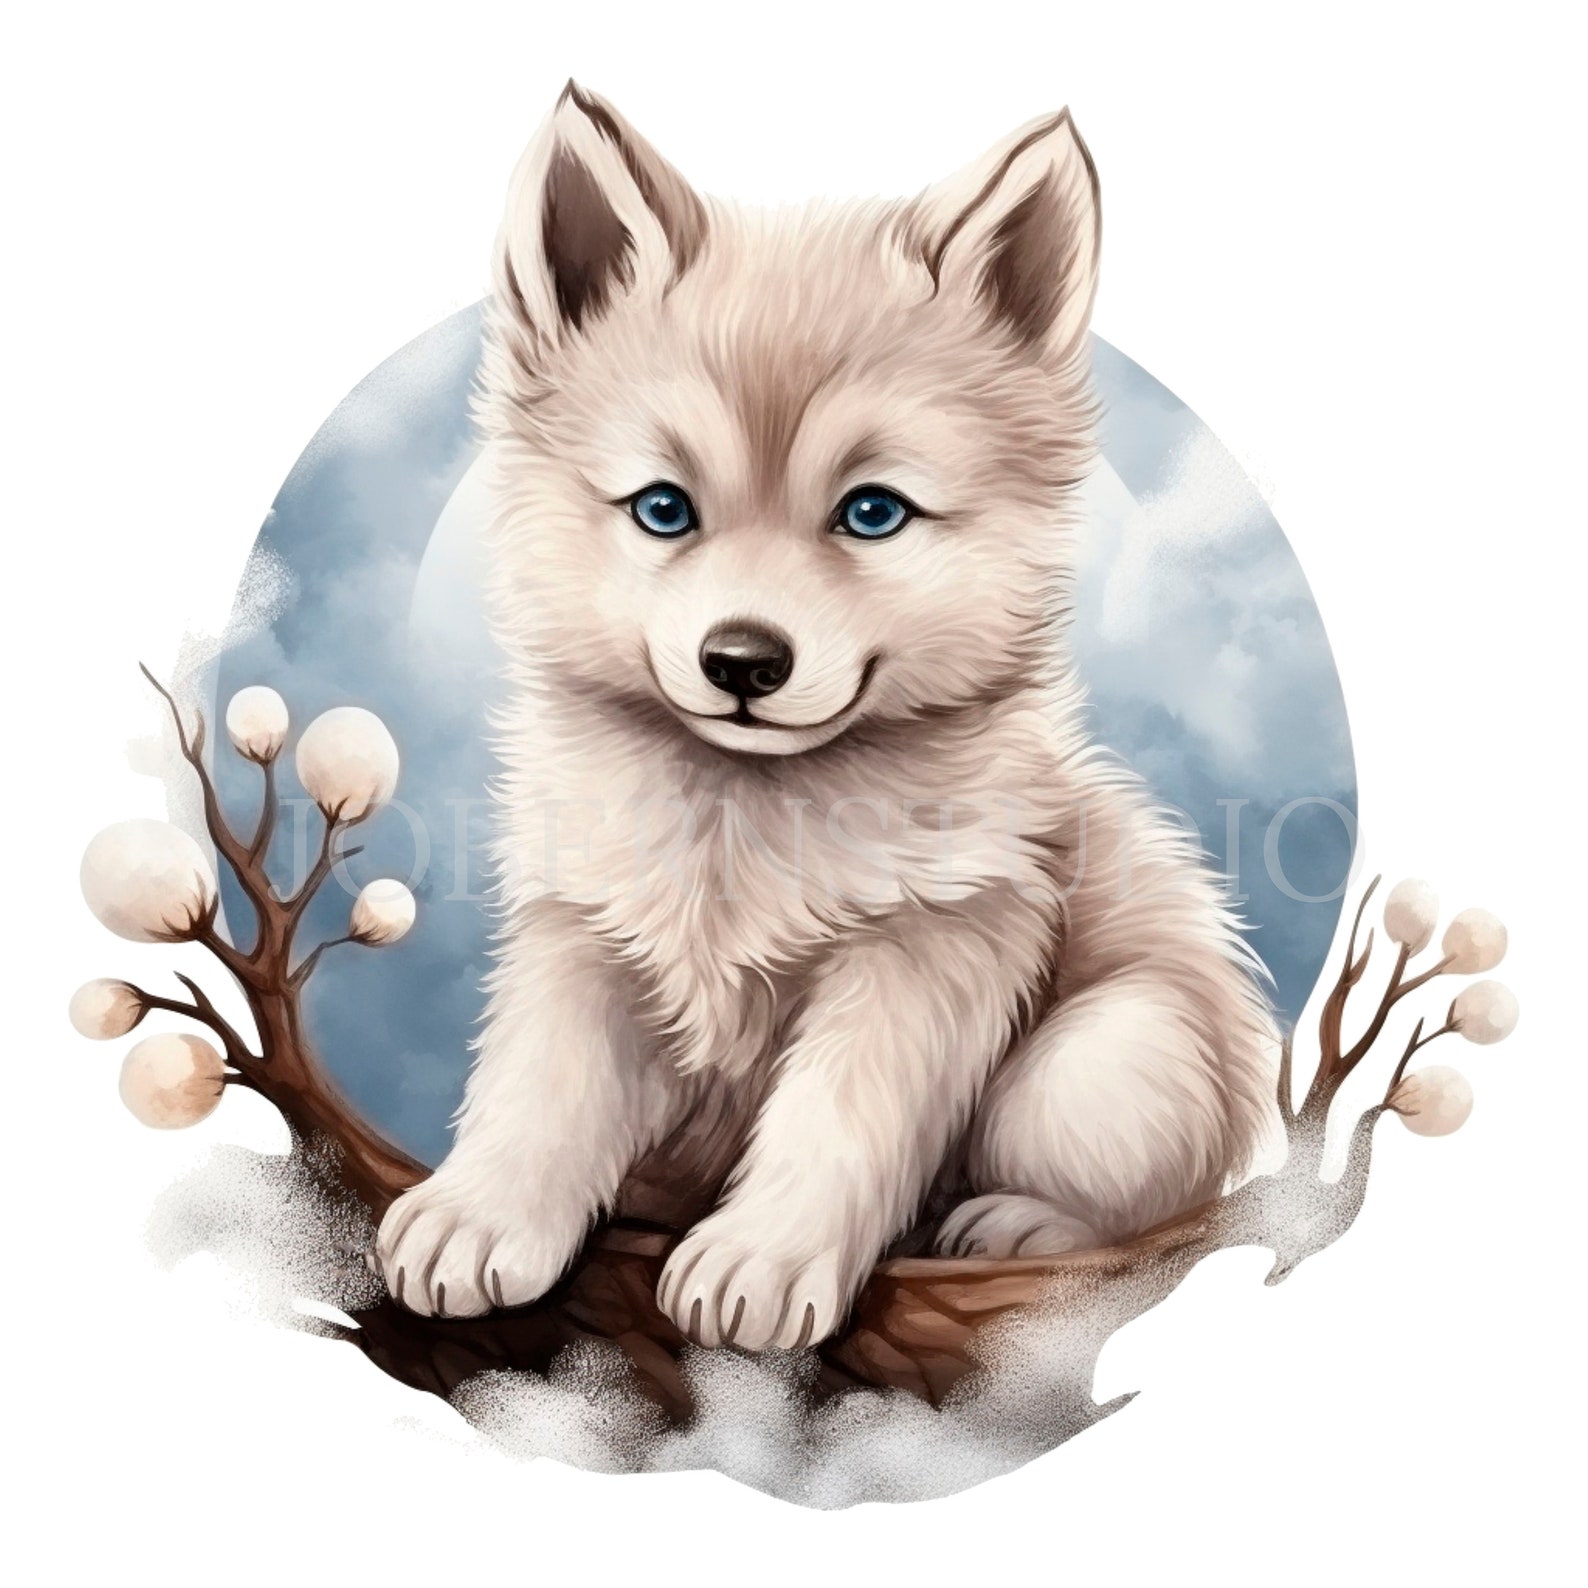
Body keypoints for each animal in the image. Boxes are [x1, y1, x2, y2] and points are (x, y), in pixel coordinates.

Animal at [375, 83, 1277, 1350]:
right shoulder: (587, 931)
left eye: (871, 512)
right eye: (663, 508)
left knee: (1144, 1185)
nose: (743, 659)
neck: (741, 813)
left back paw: (1014, 1225)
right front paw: (482, 1211)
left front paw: (760, 1254)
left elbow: (837, 1115)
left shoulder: (934, 940)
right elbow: (540, 1084)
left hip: (1108, 1053)